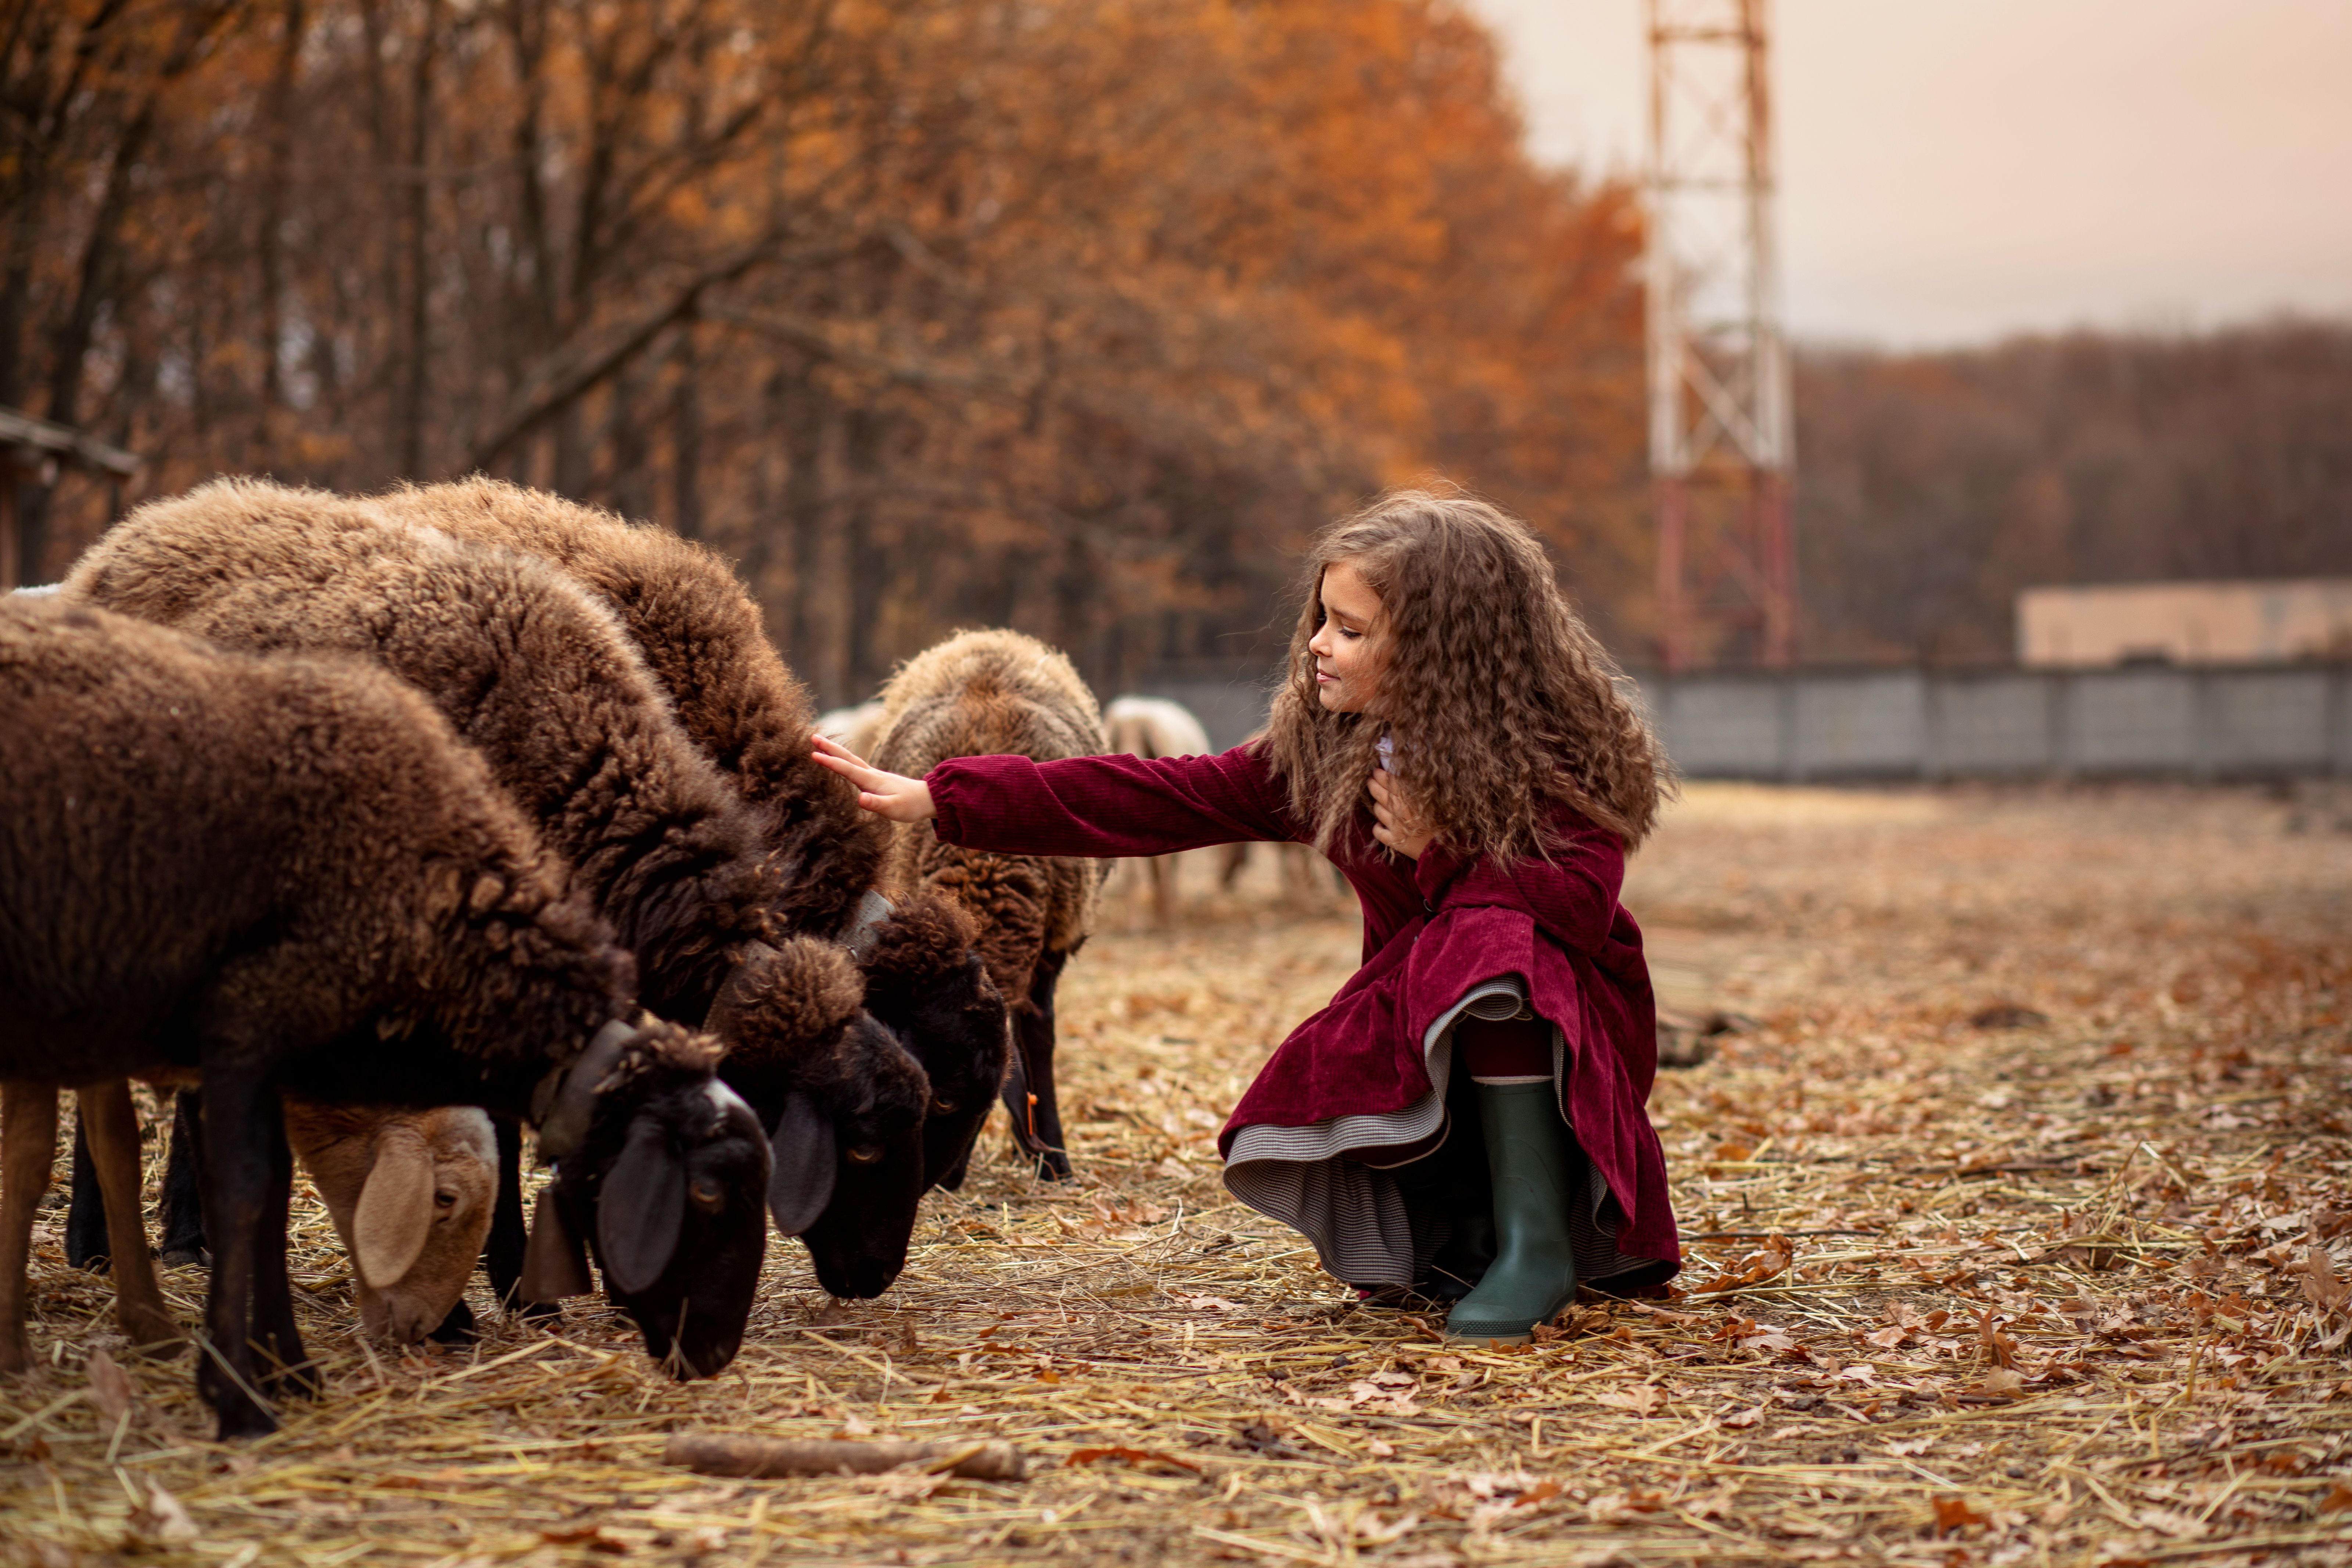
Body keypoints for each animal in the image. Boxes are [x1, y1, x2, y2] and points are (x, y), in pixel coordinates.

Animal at [0, 596, 769, 1437]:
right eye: (706, 1194)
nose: (716, 1352)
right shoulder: (244, 1028)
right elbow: (245, 1193)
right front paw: (240, 1394)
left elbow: (270, 1199)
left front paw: (286, 1368)